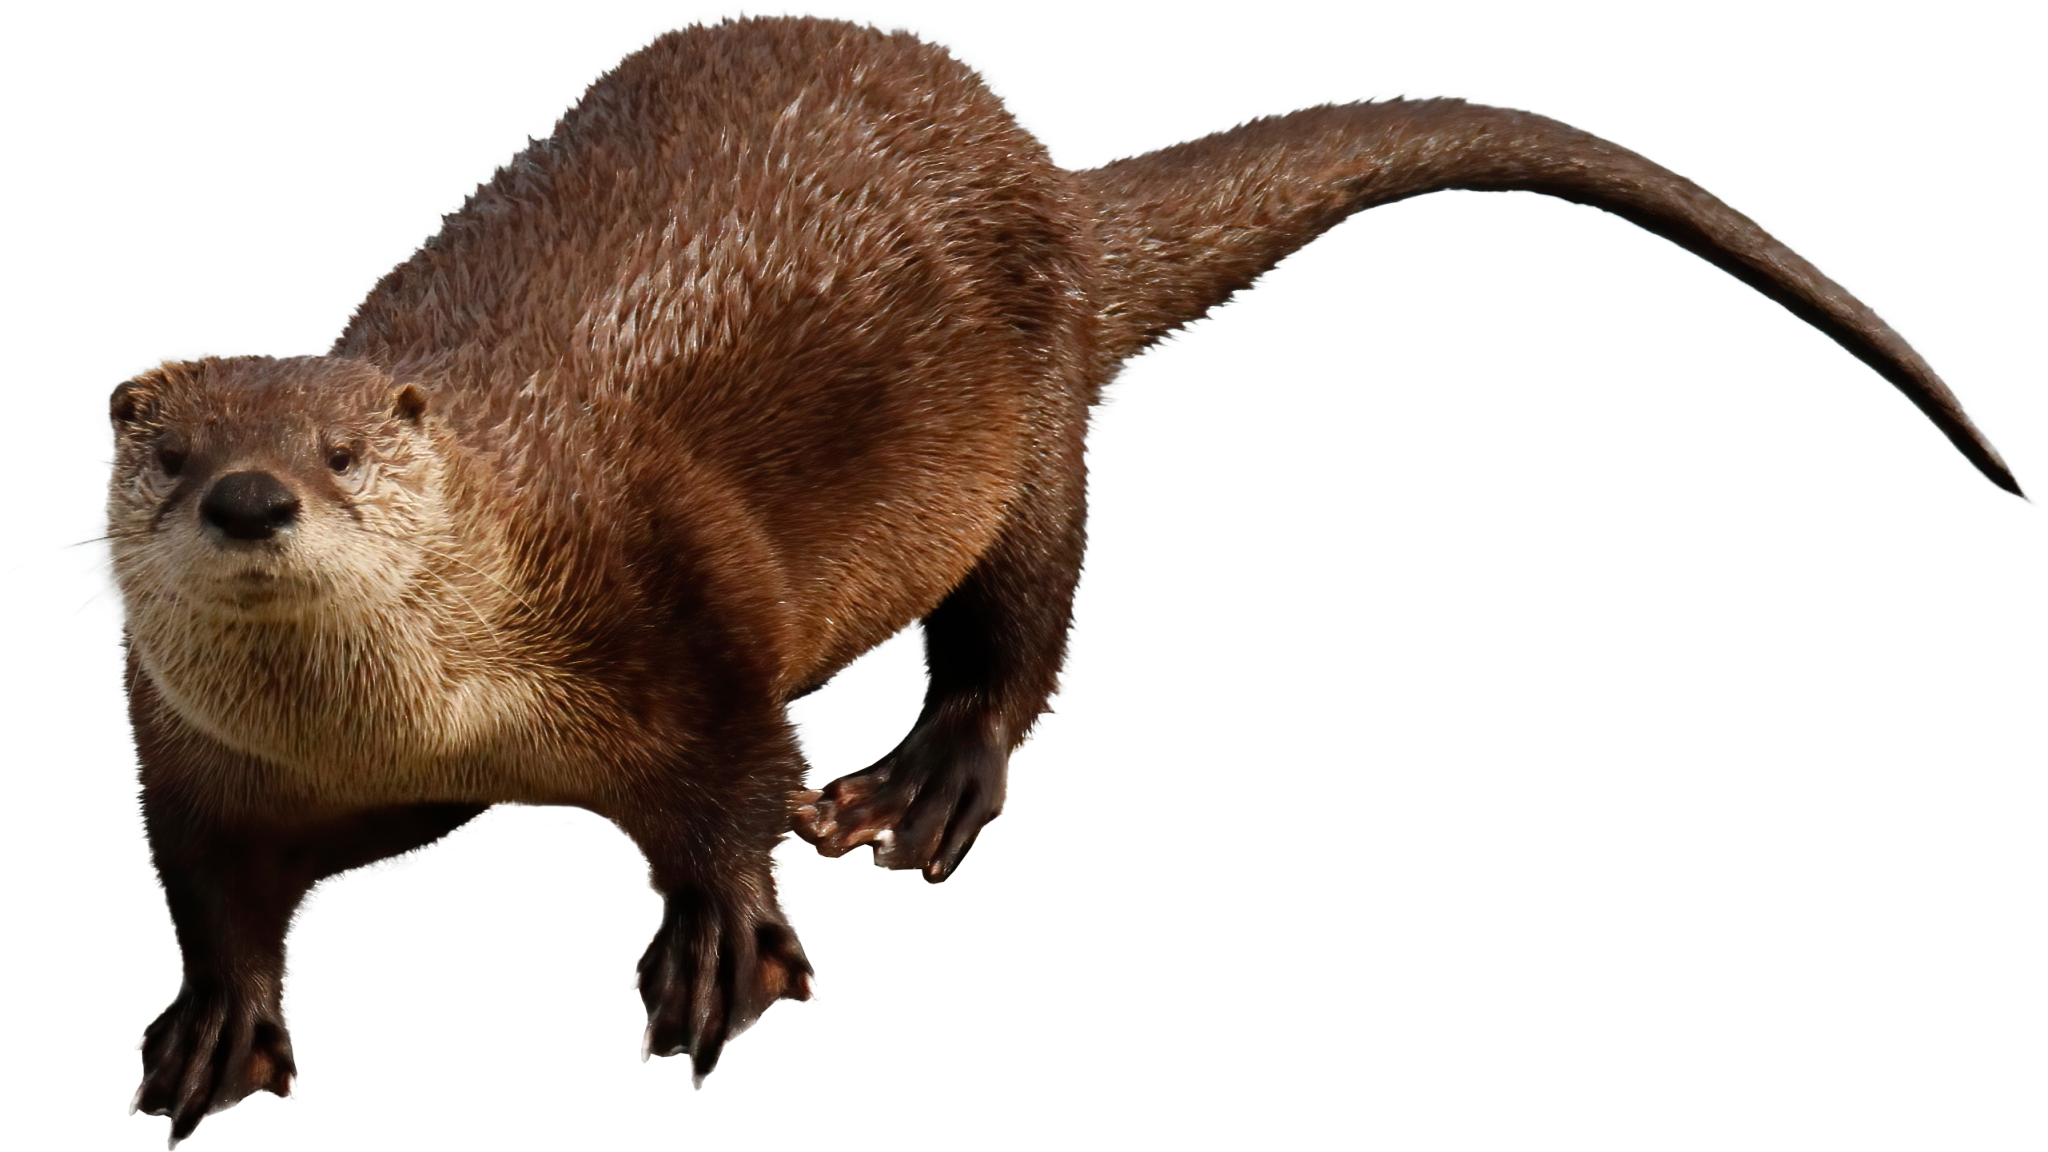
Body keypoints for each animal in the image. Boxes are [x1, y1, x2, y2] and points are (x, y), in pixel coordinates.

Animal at [86, 10, 2031, 1148]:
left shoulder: (678, 603)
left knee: (1025, 637)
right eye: (164, 452)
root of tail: (1056, 184)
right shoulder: (200, 761)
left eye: (350, 445)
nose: (252, 494)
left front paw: (721, 949)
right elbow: (214, 888)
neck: (423, 726)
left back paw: (926, 791)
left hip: (1026, 435)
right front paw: (216, 1025)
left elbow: (738, 780)